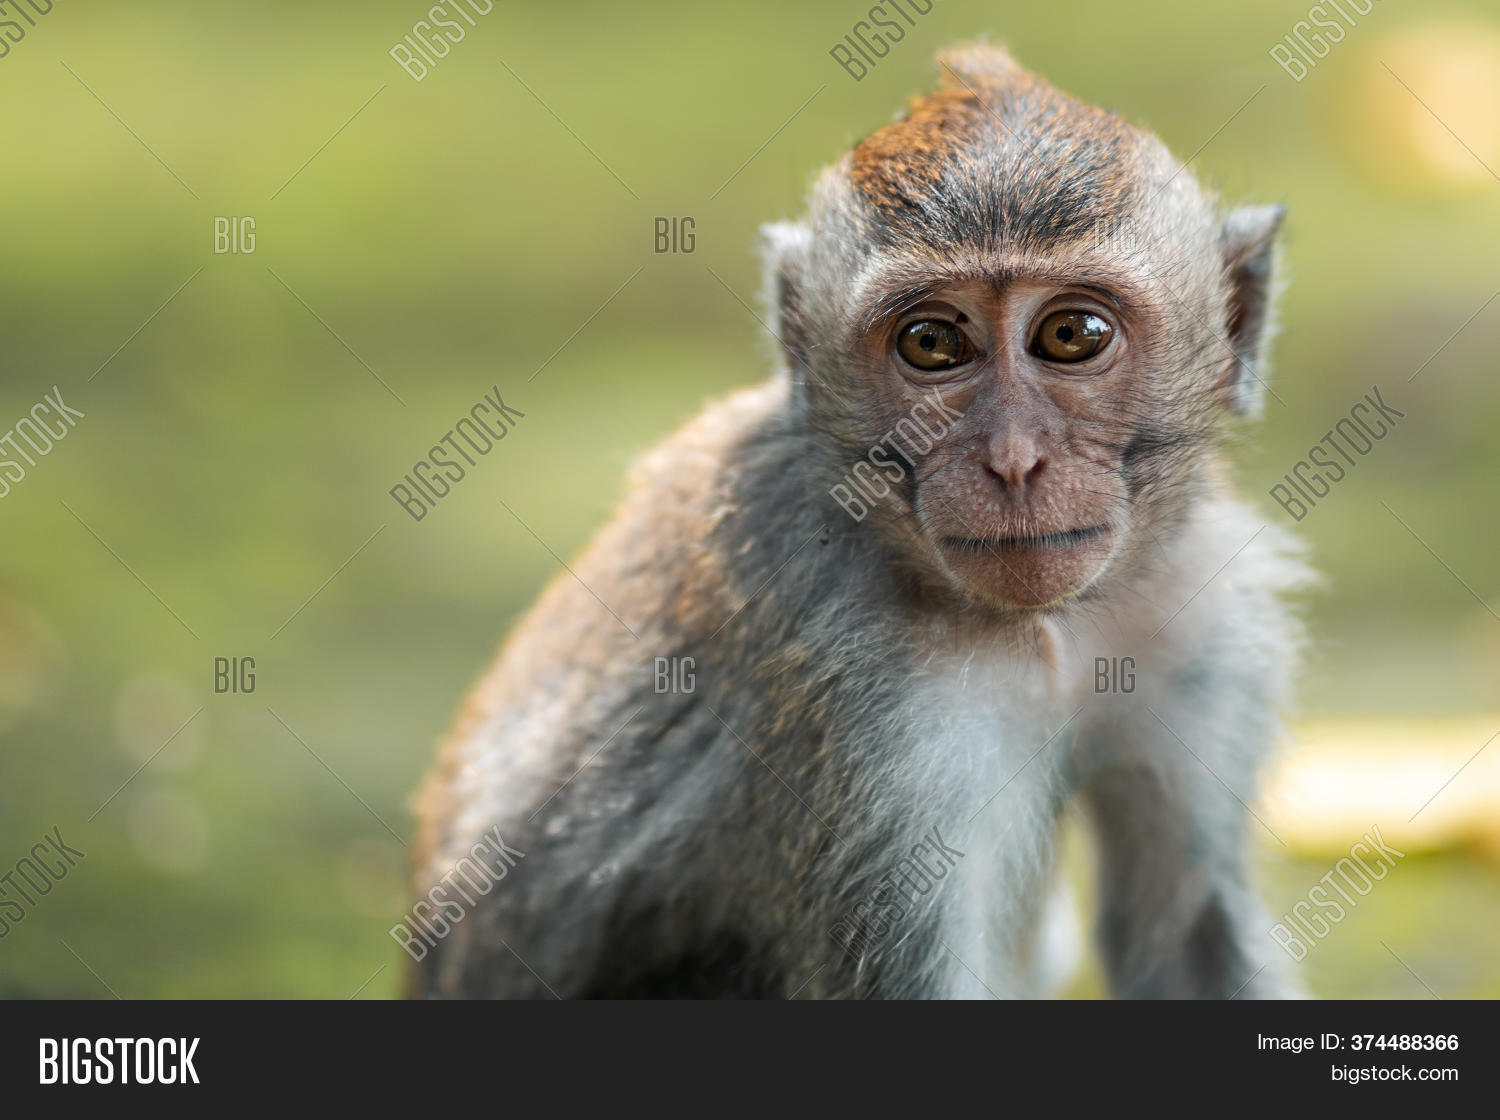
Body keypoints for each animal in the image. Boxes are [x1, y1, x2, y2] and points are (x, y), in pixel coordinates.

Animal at [407, 43, 1308, 999]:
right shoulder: (857, 700)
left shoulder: (1203, 611)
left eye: (1073, 333)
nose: (1014, 460)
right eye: (933, 344)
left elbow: (1190, 926)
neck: (1039, 631)